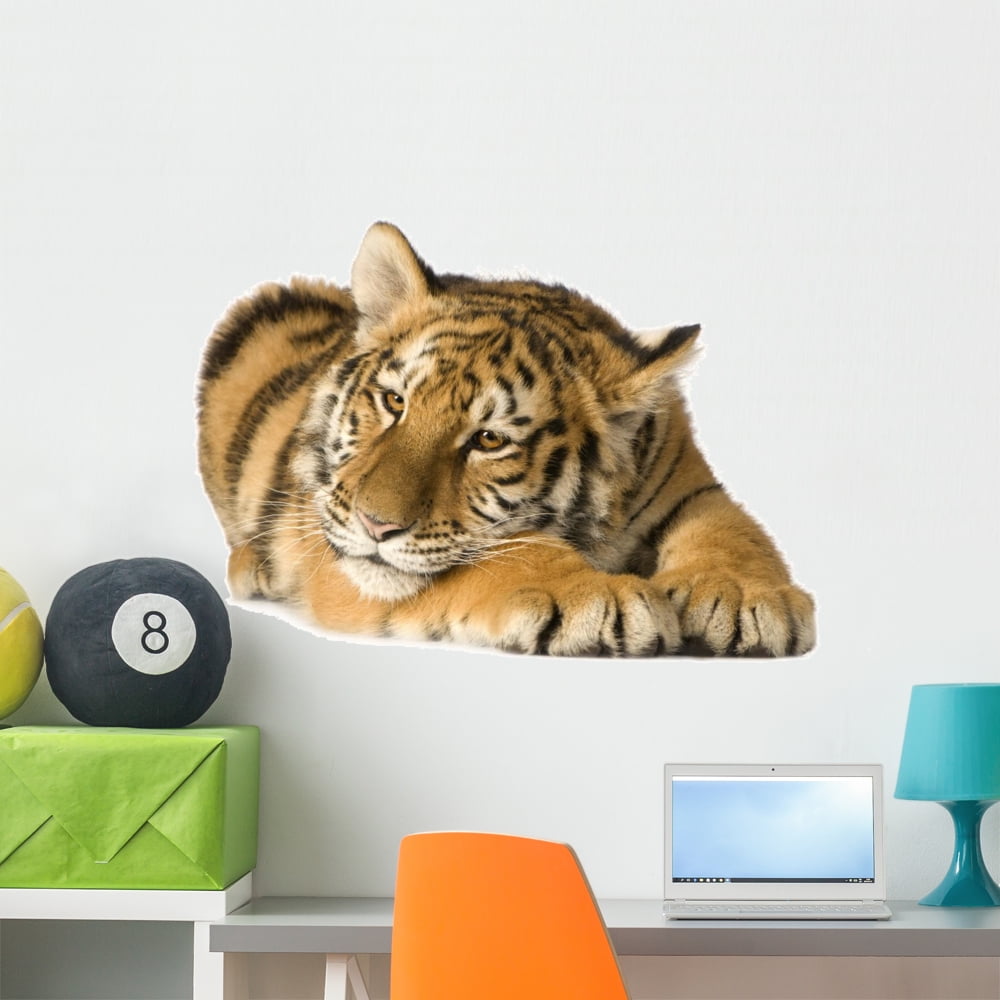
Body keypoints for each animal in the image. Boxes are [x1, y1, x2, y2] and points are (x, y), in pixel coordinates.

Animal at [196, 222, 815, 657]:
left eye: (489, 440)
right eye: (395, 403)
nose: (376, 526)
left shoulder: (690, 483)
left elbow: (733, 531)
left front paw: (748, 598)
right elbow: (503, 557)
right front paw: (600, 595)